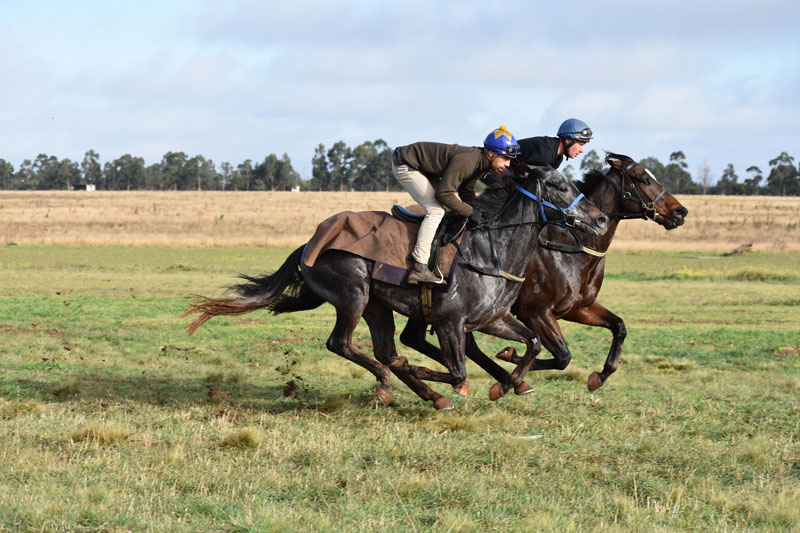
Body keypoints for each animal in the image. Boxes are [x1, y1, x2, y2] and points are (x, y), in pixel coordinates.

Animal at [184, 166, 608, 410]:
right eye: (559, 185)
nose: (601, 218)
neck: (493, 251)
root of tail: (309, 242)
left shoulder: (494, 319)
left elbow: (531, 344)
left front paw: (507, 382)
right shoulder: (451, 322)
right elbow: (457, 370)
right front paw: (455, 378)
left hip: (377, 305)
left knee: (384, 350)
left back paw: (427, 393)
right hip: (353, 294)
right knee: (344, 344)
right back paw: (392, 383)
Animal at [397, 152, 688, 396]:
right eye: (644, 179)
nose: (680, 211)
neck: (570, 246)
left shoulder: (578, 307)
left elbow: (619, 326)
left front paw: (600, 376)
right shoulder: (535, 312)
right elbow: (562, 356)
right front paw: (510, 358)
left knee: (414, 338)